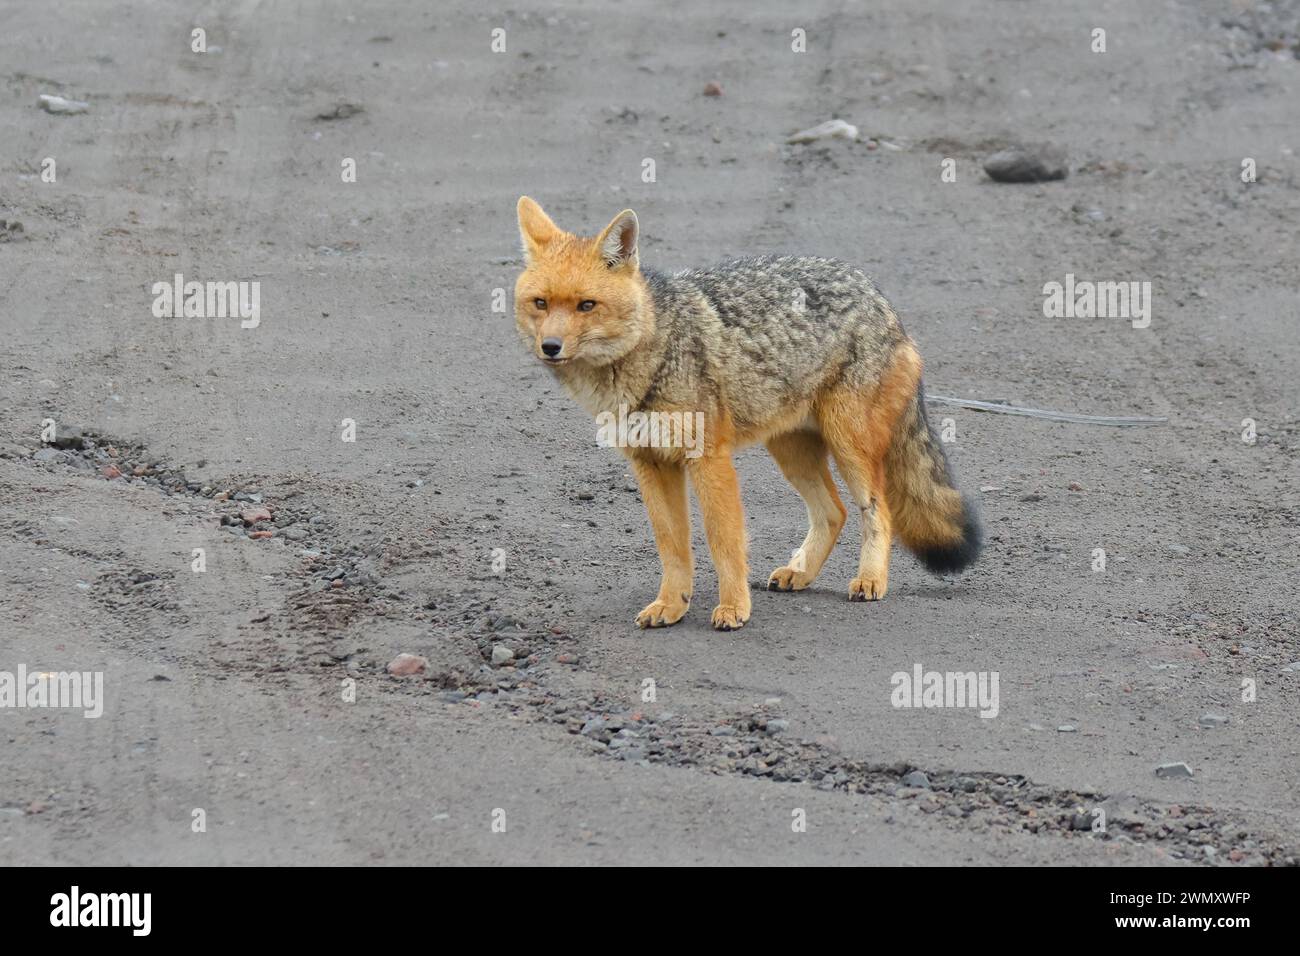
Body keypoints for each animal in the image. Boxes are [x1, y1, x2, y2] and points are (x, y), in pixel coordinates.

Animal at [513, 196, 981, 632]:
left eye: (586, 306)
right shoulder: (650, 464)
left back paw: (870, 580)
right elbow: (672, 545)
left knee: (877, 511)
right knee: (834, 512)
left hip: (849, 447)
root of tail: (875, 292)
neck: (654, 349)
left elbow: (723, 540)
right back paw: (800, 572)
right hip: (791, 452)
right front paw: (671, 605)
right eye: (541, 303)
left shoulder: (709, 460)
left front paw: (734, 608)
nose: (550, 347)